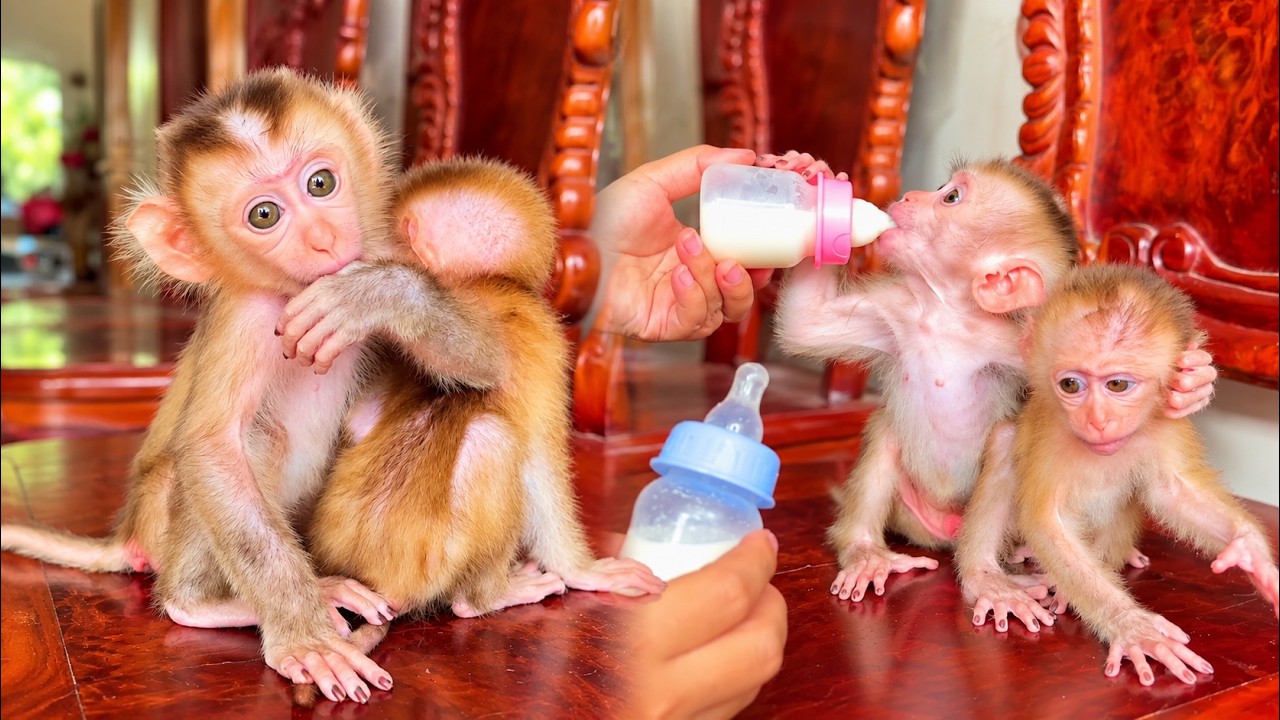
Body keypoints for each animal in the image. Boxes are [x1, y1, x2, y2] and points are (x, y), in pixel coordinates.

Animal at [0, 69, 509, 704]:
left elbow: (488, 362)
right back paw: (209, 604)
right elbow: (213, 446)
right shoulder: (242, 319)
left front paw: (371, 296)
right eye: (264, 215)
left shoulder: (384, 250)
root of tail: (129, 529)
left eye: (321, 183)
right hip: (162, 519)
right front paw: (306, 637)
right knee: (252, 442)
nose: (322, 238)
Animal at [768, 153, 1218, 603]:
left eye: (950, 197)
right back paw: (865, 551)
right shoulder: (894, 310)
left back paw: (986, 576)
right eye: (942, 187)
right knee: (887, 430)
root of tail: (948, 531)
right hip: (913, 514)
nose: (911, 196)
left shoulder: (1018, 342)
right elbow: (806, 325)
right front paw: (809, 172)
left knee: (1005, 440)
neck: (946, 315)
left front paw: (1192, 384)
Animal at [957, 262, 1278, 685]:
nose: (1097, 419)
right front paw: (1133, 627)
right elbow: (1047, 522)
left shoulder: (1164, 428)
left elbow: (1172, 492)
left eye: (1118, 385)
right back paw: (989, 580)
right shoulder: (1050, 433)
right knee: (1006, 441)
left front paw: (1250, 550)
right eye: (1071, 385)